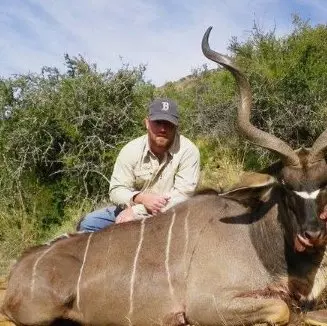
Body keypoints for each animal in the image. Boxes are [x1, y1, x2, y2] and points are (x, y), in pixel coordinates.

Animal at [1, 26, 327, 324]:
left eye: (323, 183)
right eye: (285, 186)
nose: (312, 234)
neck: (255, 236)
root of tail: (16, 272)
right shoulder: (207, 305)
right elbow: (282, 309)